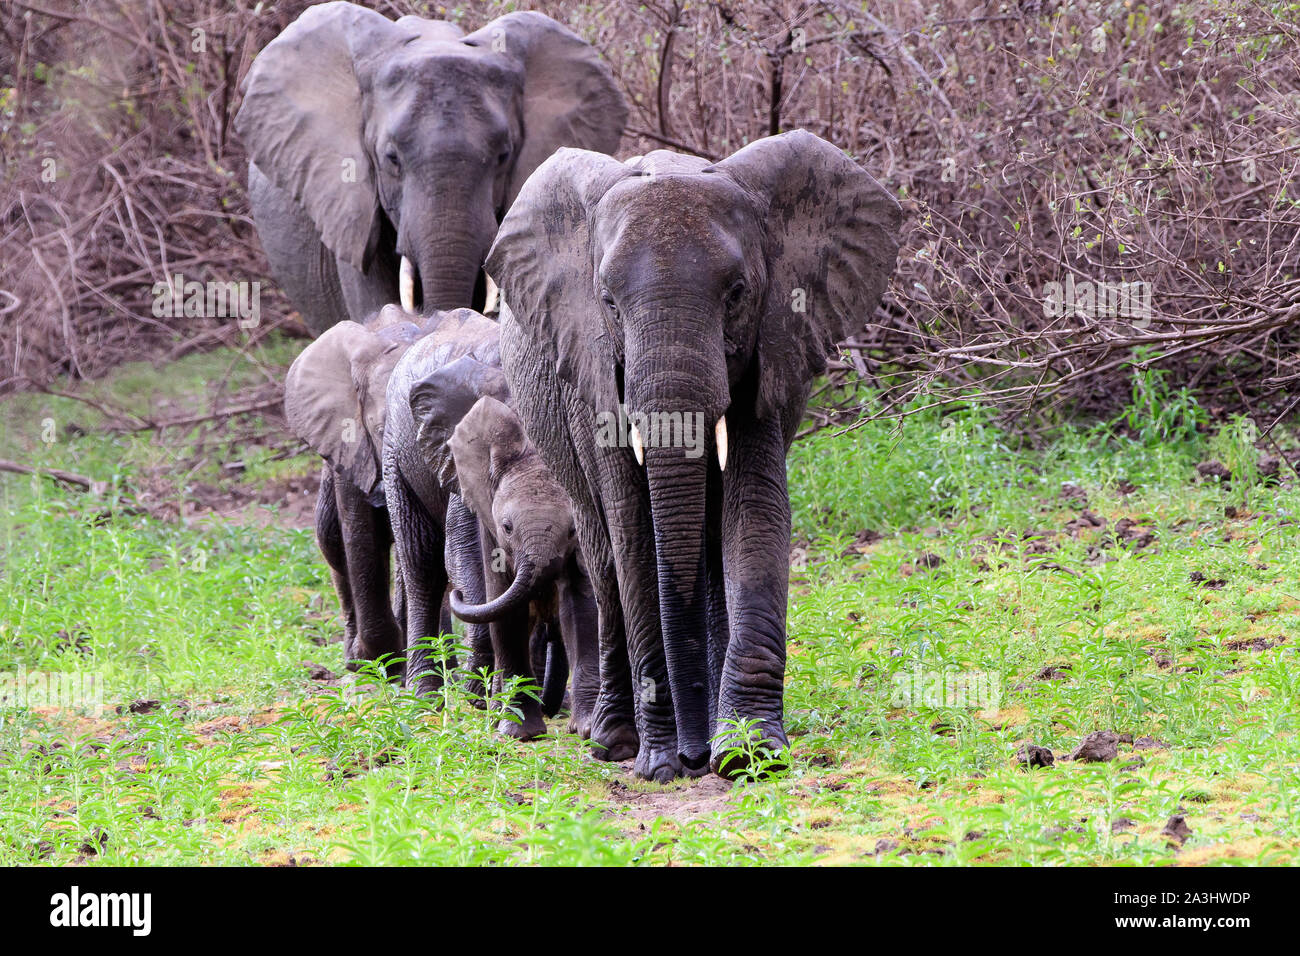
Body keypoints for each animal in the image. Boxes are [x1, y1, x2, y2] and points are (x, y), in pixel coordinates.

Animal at [379, 310, 595, 738]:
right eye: (507, 526)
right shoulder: (459, 464)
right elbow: (466, 555)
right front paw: (484, 701)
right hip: (396, 453)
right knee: (423, 566)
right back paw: (426, 699)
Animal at [483, 130, 899, 780]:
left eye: (737, 294)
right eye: (606, 301)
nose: (690, 756)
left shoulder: (774, 342)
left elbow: (755, 513)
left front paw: (750, 753)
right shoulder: (591, 366)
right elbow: (632, 531)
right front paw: (658, 764)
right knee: (602, 555)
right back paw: (615, 741)